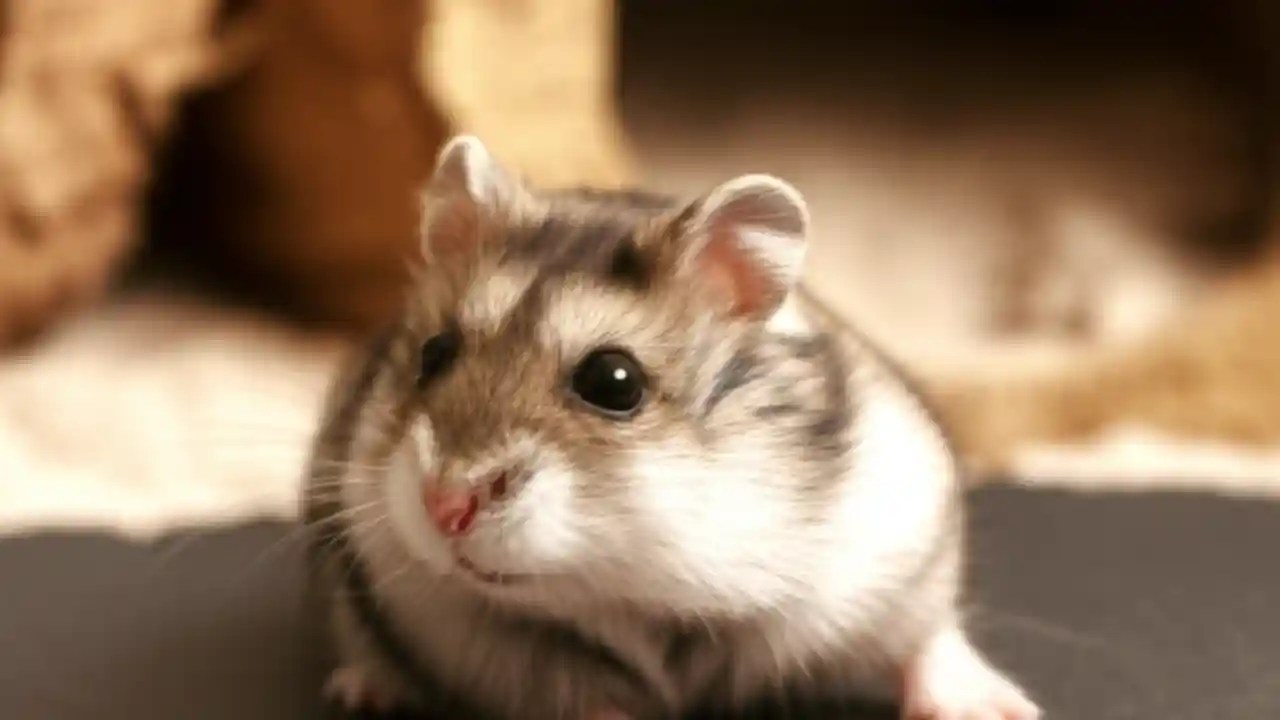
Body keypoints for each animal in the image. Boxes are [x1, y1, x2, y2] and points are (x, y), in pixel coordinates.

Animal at [303, 136, 1039, 720]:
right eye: (433, 354)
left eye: (614, 382)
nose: (444, 506)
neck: (643, 588)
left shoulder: (902, 554)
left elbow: (927, 638)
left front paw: (999, 710)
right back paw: (361, 690)